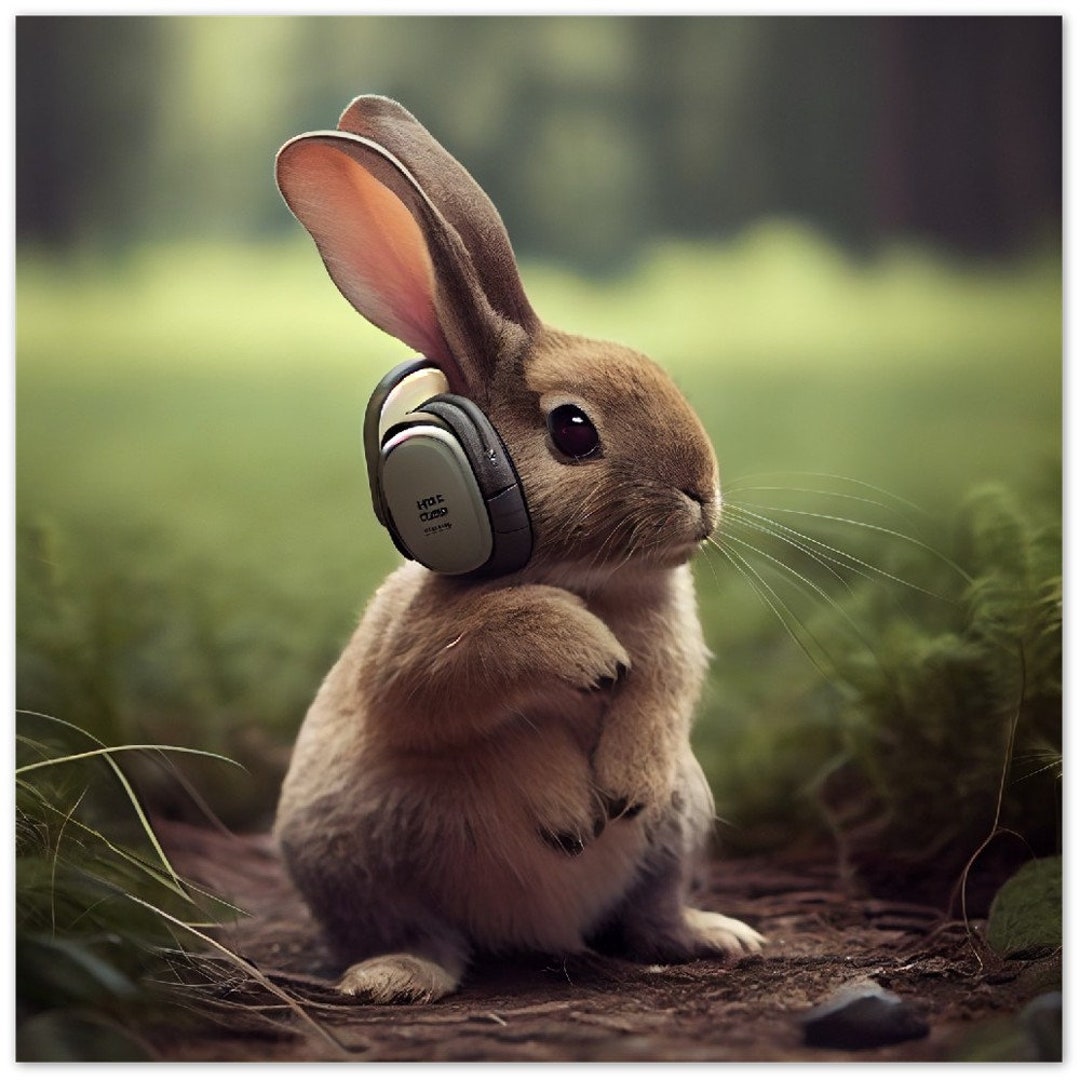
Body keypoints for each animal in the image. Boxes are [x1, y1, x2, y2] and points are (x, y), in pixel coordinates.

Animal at [272, 95, 765, 1004]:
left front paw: (625, 780)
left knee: (650, 911)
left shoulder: (670, 652)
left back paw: (715, 935)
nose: (701, 495)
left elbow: (659, 696)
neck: (581, 579)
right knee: (423, 936)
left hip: (681, 822)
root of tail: (543, 929)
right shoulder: (416, 663)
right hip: (351, 849)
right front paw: (587, 676)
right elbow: (482, 717)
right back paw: (392, 977)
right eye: (572, 430)